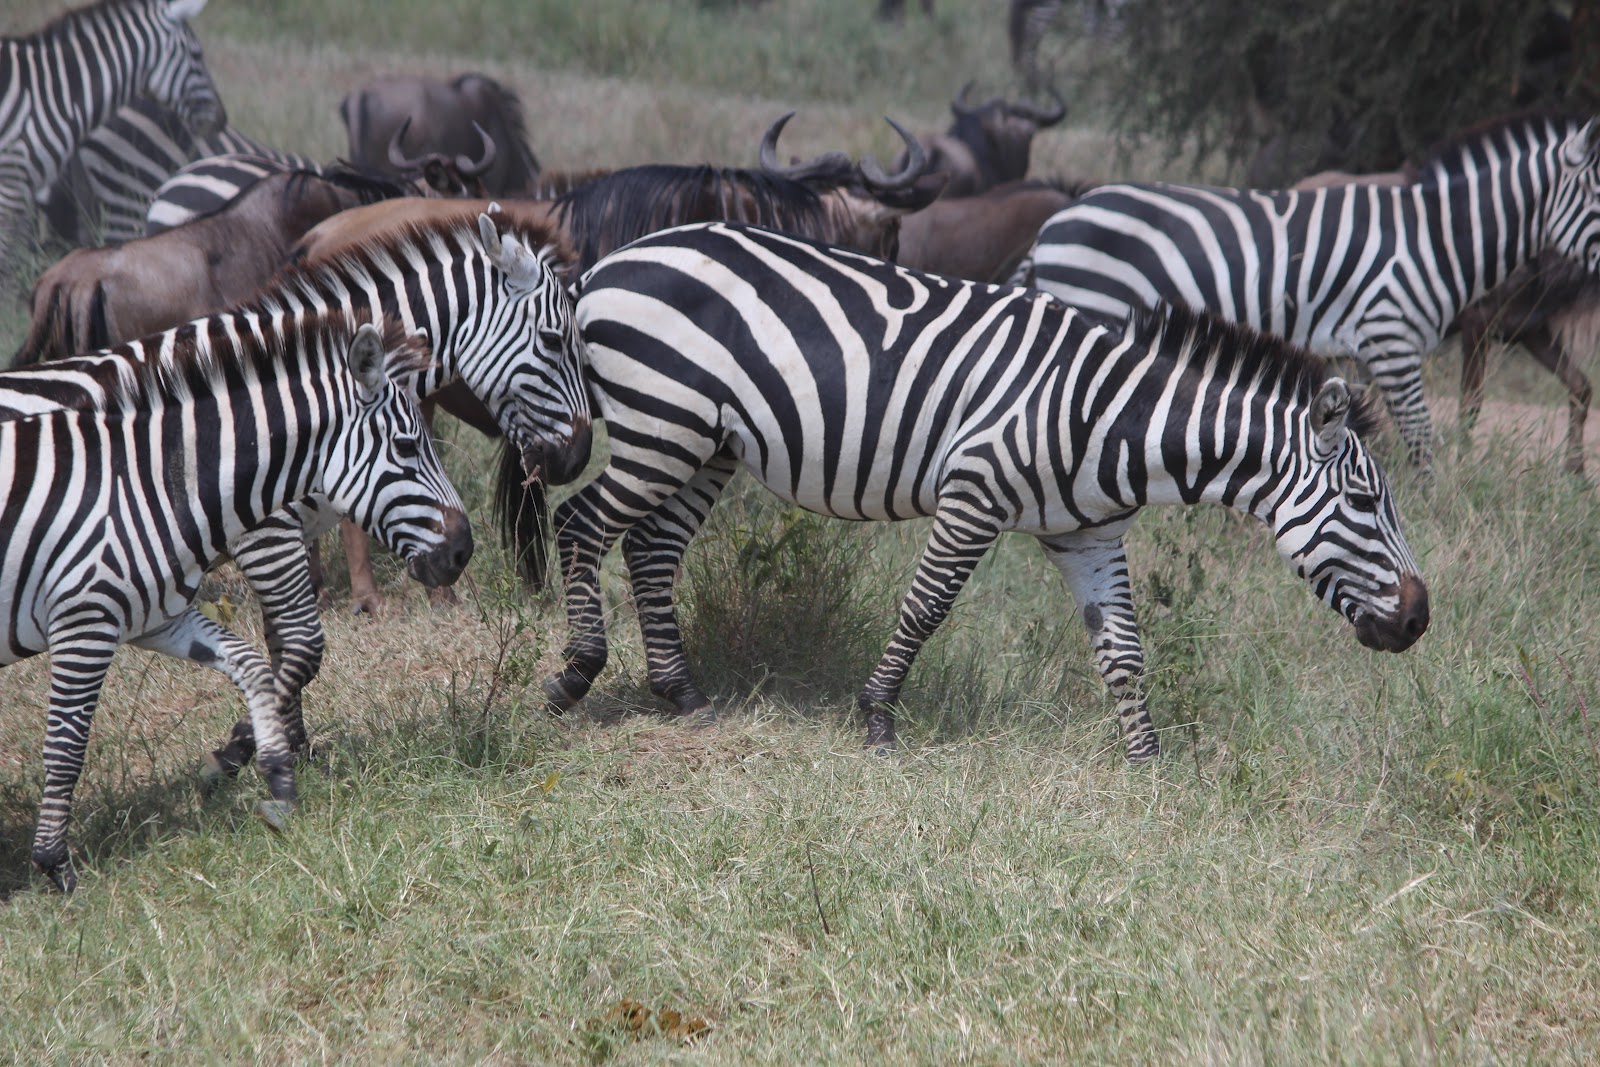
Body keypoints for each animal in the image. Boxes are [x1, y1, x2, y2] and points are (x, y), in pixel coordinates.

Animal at [0, 312, 473, 893]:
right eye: (407, 447)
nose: (464, 550)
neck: (156, 484)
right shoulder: (84, 621)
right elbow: (67, 746)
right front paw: (56, 867)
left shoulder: (156, 616)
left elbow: (254, 665)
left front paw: (278, 781)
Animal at [6, 202, 593, 783]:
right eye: (555, 340)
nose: (579, 457)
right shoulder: (266, 535)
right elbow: (304, 647)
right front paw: (241, 746)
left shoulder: (286, 534)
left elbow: (281, 643)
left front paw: (291, 744)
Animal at [542, 221, 1430, 756]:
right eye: (1364, 504)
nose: (1421, 619)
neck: (1113, 417)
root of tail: (607, 263)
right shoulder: (974, 495)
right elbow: (925, 607)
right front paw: (877, 717)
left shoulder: (1091, 535)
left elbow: (1123, 649)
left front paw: (1149, 763)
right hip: (663, 420)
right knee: (581, 521)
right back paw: (575, 673)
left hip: (706, 441)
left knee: (650, 546)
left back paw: (683, 693)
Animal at [1019, 112, 1600, 469]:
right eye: (1599, 200)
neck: (1436, 239)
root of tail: (1055, 221)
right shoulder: (1391, 338)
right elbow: (1420, 439)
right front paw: (1432, 512)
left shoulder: (1359, 352)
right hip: (1096, 304)